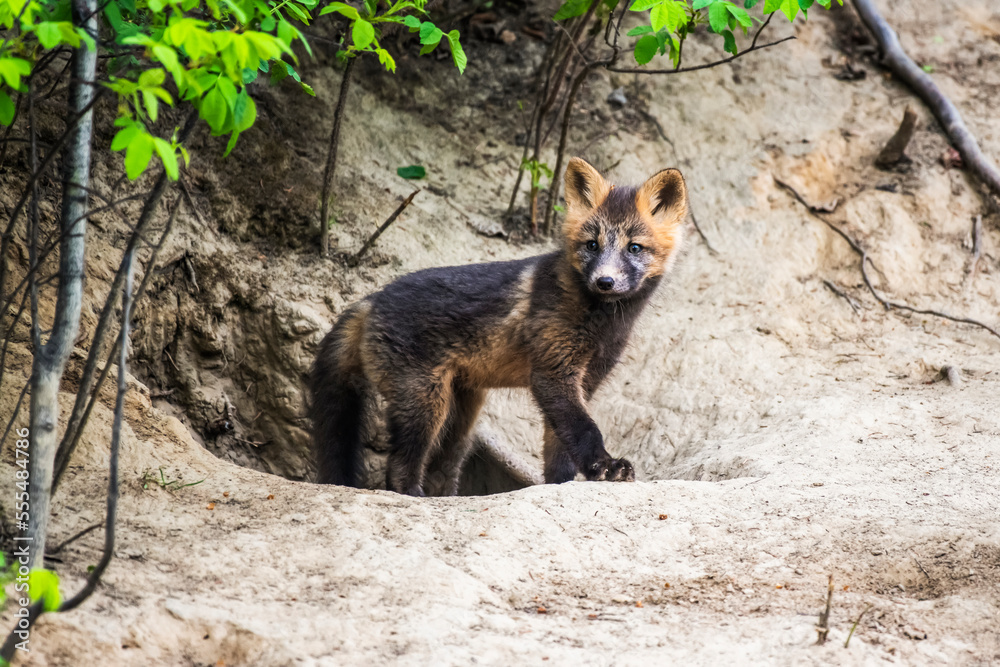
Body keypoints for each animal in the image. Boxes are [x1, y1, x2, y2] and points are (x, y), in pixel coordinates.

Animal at [309, 157, 688, 496]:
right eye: (592, 245)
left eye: (634, 248)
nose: (605, 281)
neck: (601, 325)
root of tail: (372, 297)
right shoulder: (552, 373)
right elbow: (584, 431)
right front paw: (605, 466)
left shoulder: (585, 380)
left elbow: (559, 449)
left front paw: (560, 485)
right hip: (425, 405)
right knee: (399, 469)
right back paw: (413, 496)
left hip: (461, 417)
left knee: (441, 473)